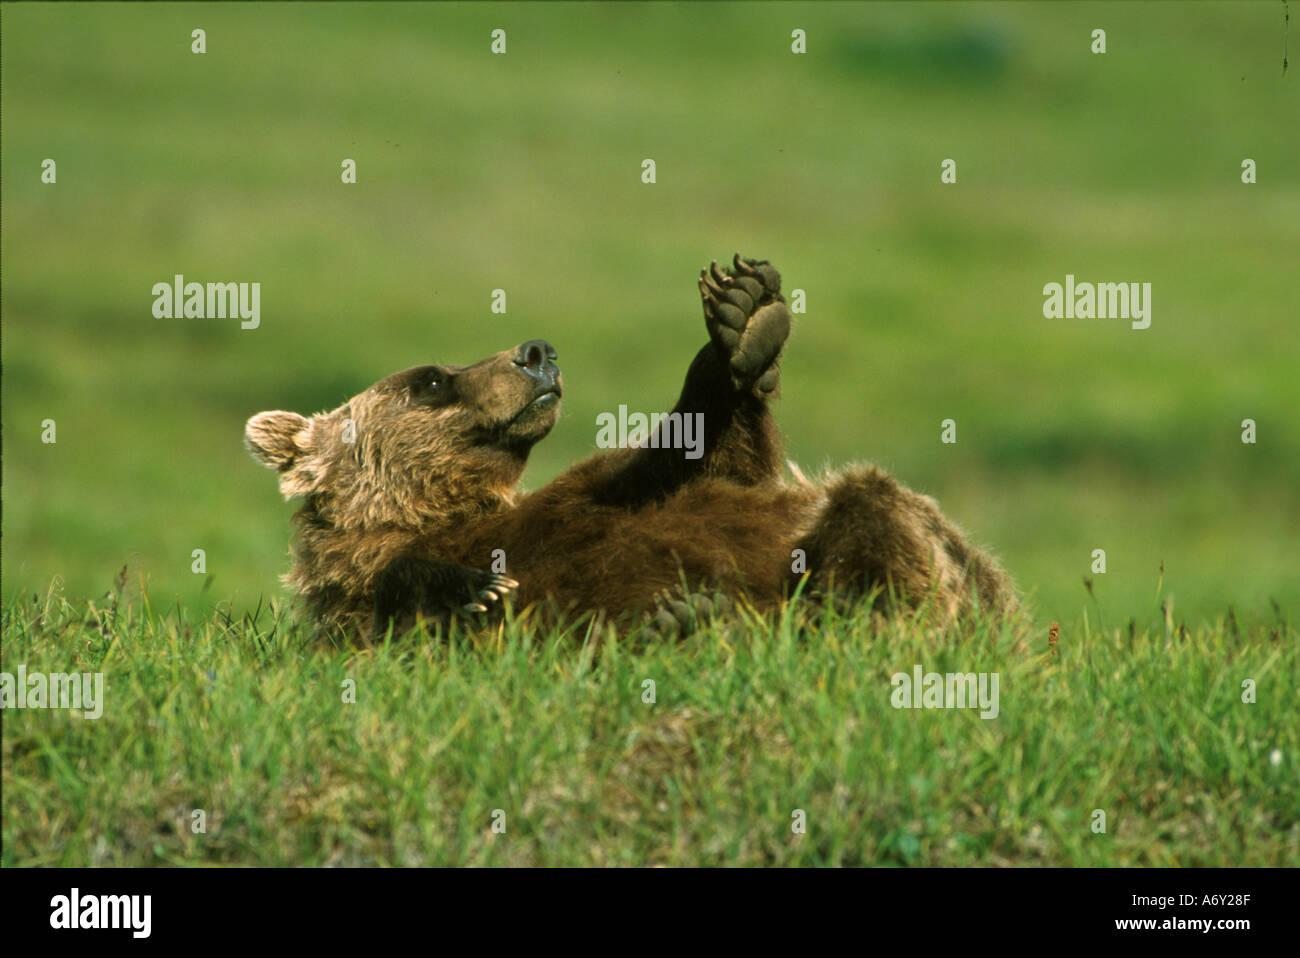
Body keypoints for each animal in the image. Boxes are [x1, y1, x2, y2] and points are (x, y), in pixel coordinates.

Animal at [246, 254, 1017, 640]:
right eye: (432, 379)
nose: (537, 351)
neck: (447, 514)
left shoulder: (586, 497)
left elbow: (697, 462)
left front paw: (743, 319)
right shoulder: (361, 602)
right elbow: (402, 607)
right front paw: (474, 588)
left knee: (867, 508)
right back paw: (708, 623)